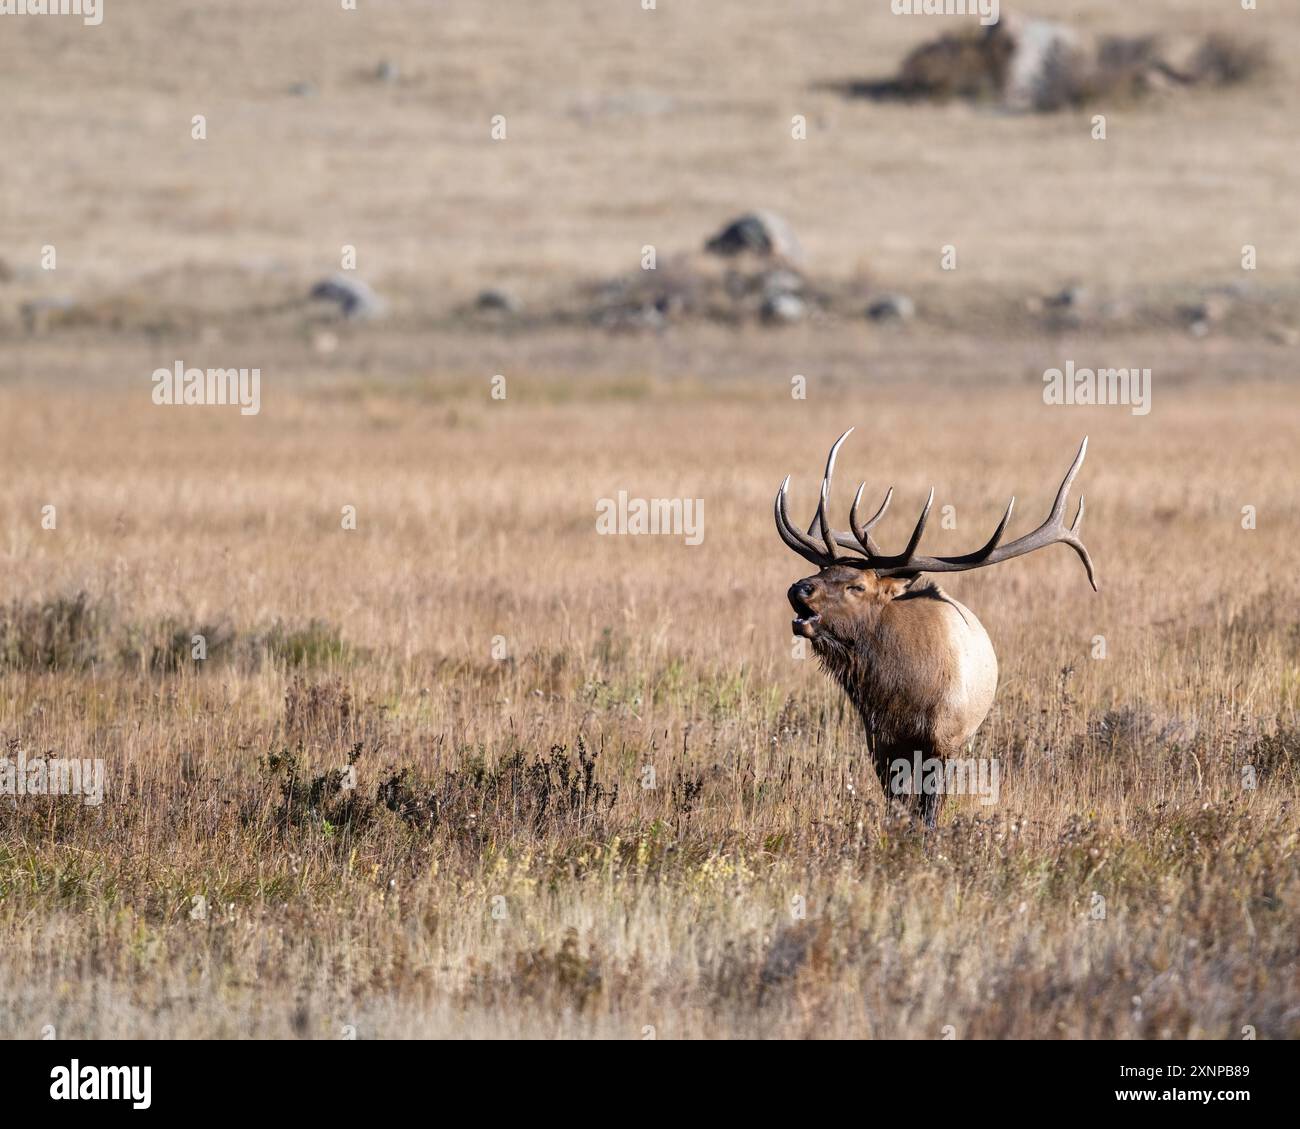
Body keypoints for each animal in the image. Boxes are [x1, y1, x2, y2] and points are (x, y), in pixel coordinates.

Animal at [775, 431, 1096, 827]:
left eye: (857, 586)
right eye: (823, 571)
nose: (798, 588)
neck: (902, 694)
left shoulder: (943, 740)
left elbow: (929, 810)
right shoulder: (879, 741)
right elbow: (897, 804)